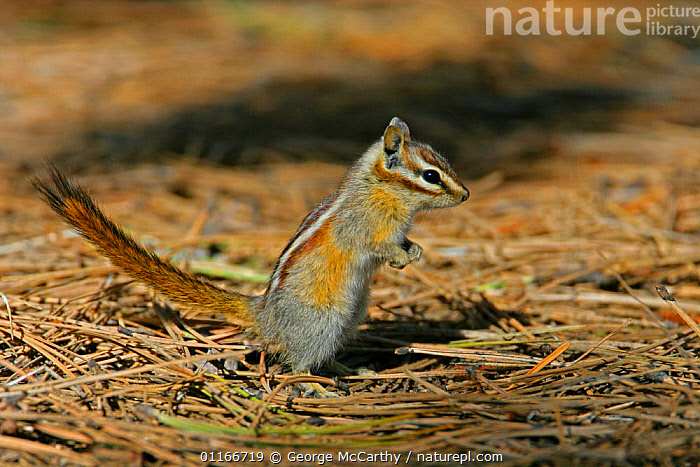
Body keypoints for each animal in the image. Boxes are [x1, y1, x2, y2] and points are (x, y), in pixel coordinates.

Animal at [33, 117, 469, 397]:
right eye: (431, 175)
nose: (465, 195)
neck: (383, 189)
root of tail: (265, 314)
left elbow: (402, 241)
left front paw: (414, 250)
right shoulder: (361, 227)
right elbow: (374, 246)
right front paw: (402, 256)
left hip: (351, 317)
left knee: (324, 356)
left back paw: (348, 368)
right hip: (322, 320)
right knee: (297, 363)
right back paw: (314, 385)